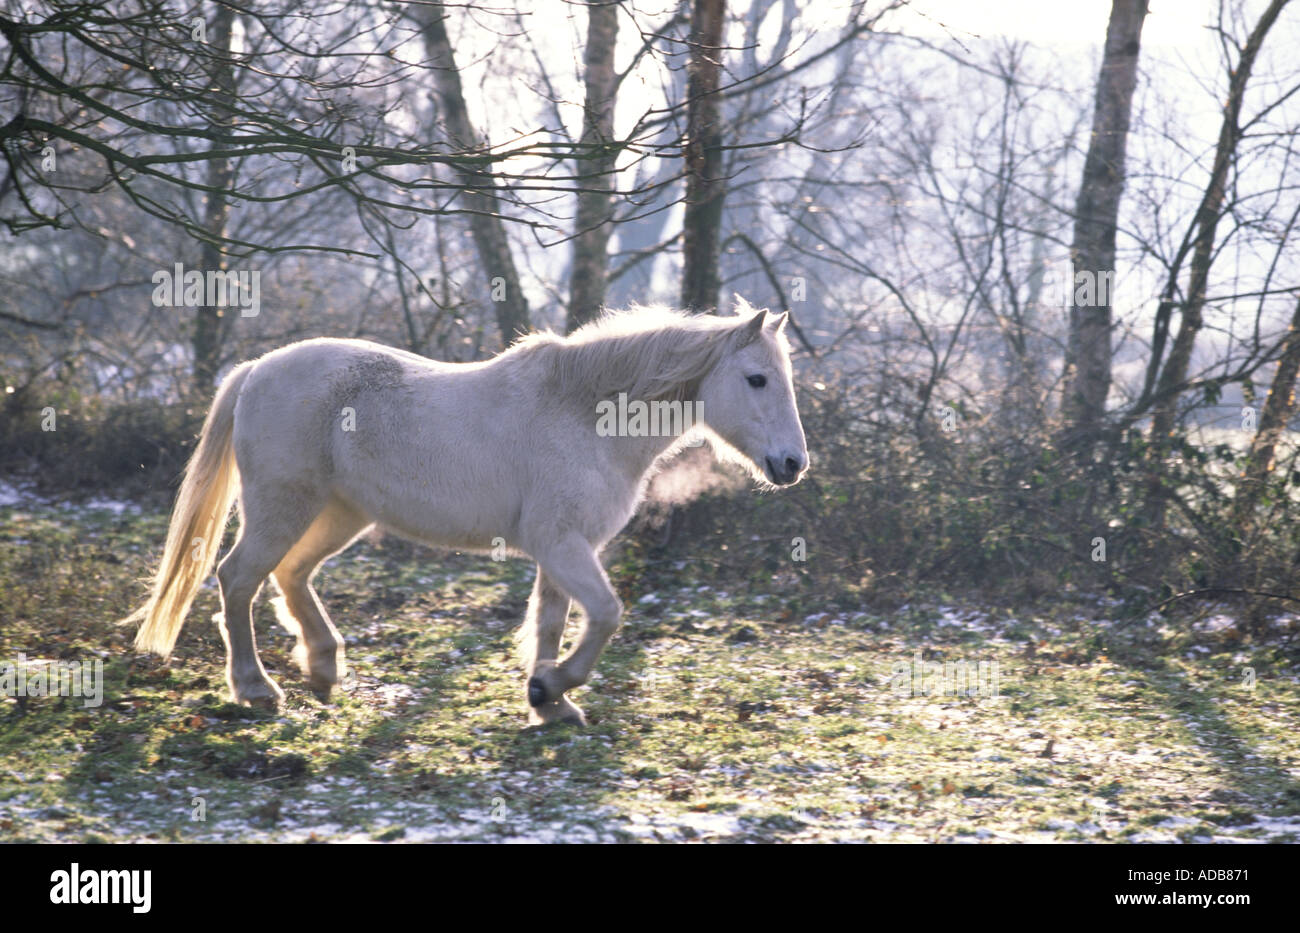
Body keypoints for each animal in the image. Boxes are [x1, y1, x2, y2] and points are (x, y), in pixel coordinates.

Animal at [125, 302, 808, 725]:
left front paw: (548, 702)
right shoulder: (561, 544)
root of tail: (254, 371)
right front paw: (552, 688)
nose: (792, 464)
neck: (586, 414)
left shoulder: (562, 549)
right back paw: (255, 689)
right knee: (238, 579)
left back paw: (322, 666)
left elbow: (553, 623)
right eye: (756, 379)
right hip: (281, 508)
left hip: (341, 515)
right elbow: (607, 615)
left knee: (290, 576)